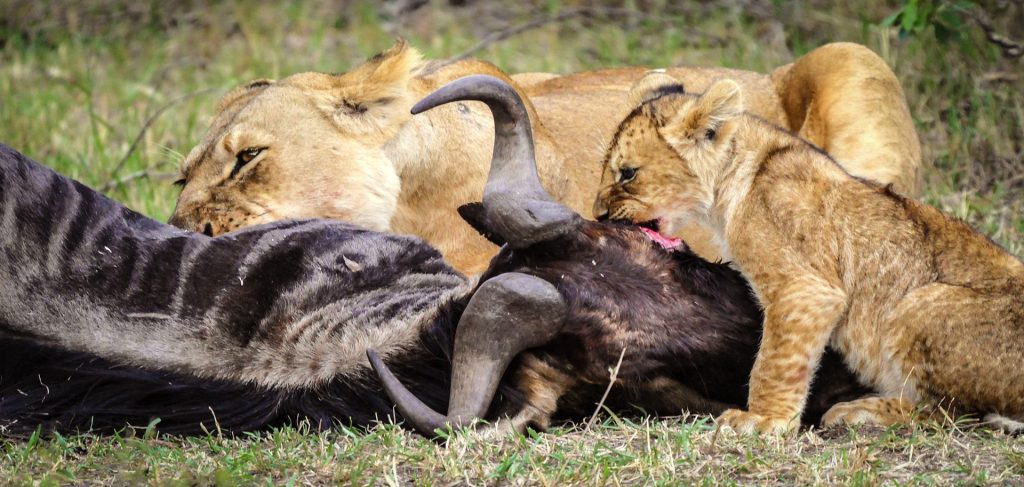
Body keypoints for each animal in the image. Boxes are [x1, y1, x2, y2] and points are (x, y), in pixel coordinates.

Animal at [593, 74, 1024, 434]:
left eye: (627, 173)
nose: (598, 214)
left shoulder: (805, 287)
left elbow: (775, 361)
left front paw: (763, 420)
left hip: (919, 303)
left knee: (957, 413)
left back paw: (862, 411)